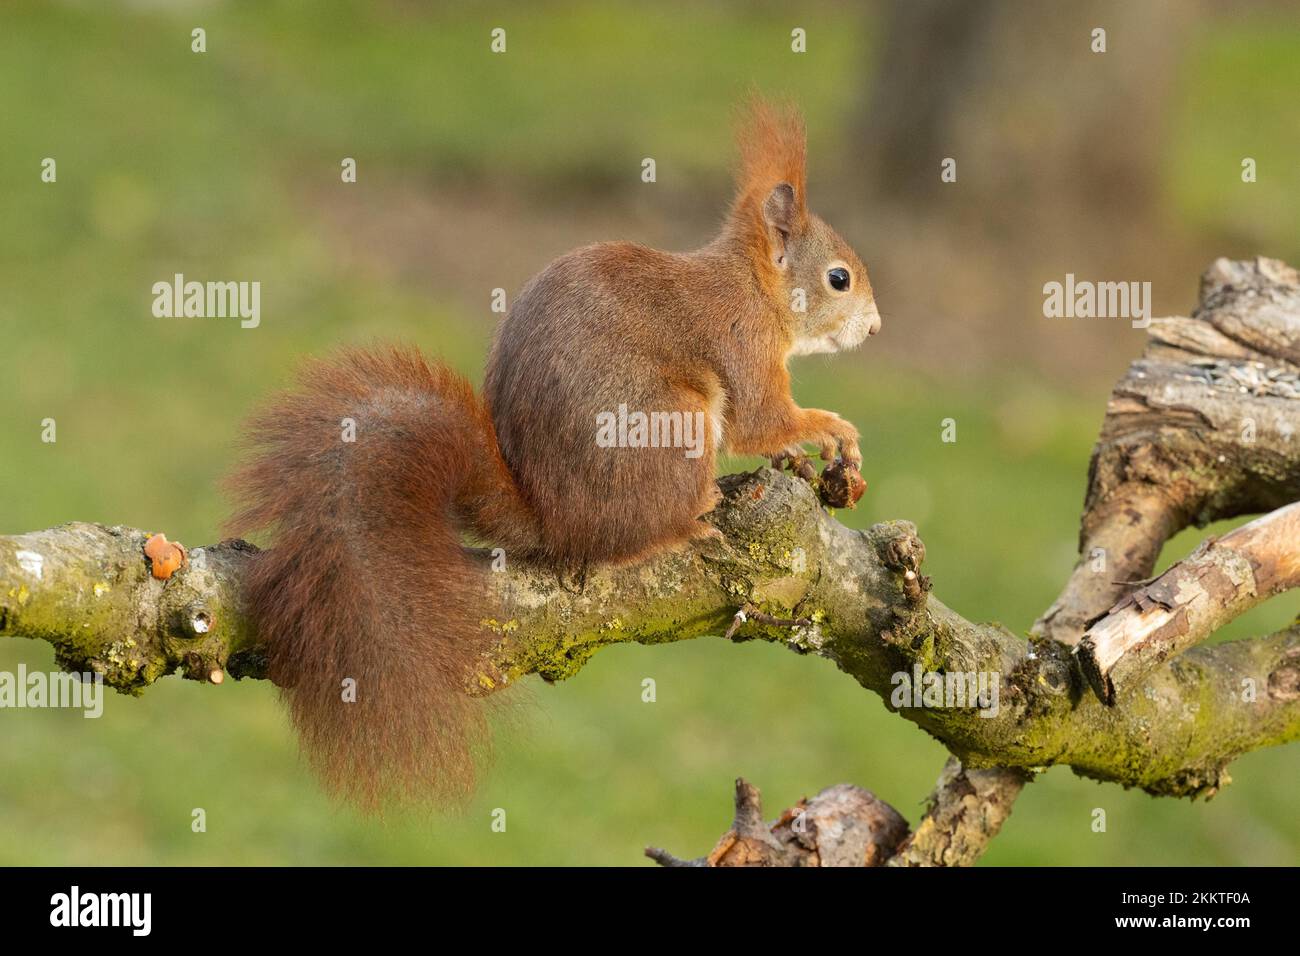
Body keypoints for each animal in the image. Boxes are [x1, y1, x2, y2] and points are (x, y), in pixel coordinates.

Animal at [226, 97, 880, 810]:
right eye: (839, 279)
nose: (876, 328)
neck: (755, 287)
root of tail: (554, 519)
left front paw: (800, 459)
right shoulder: (744, 343)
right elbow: (763, 421)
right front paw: (831, 429)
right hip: (670, 423)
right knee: (633, 537)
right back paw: (690, 523)